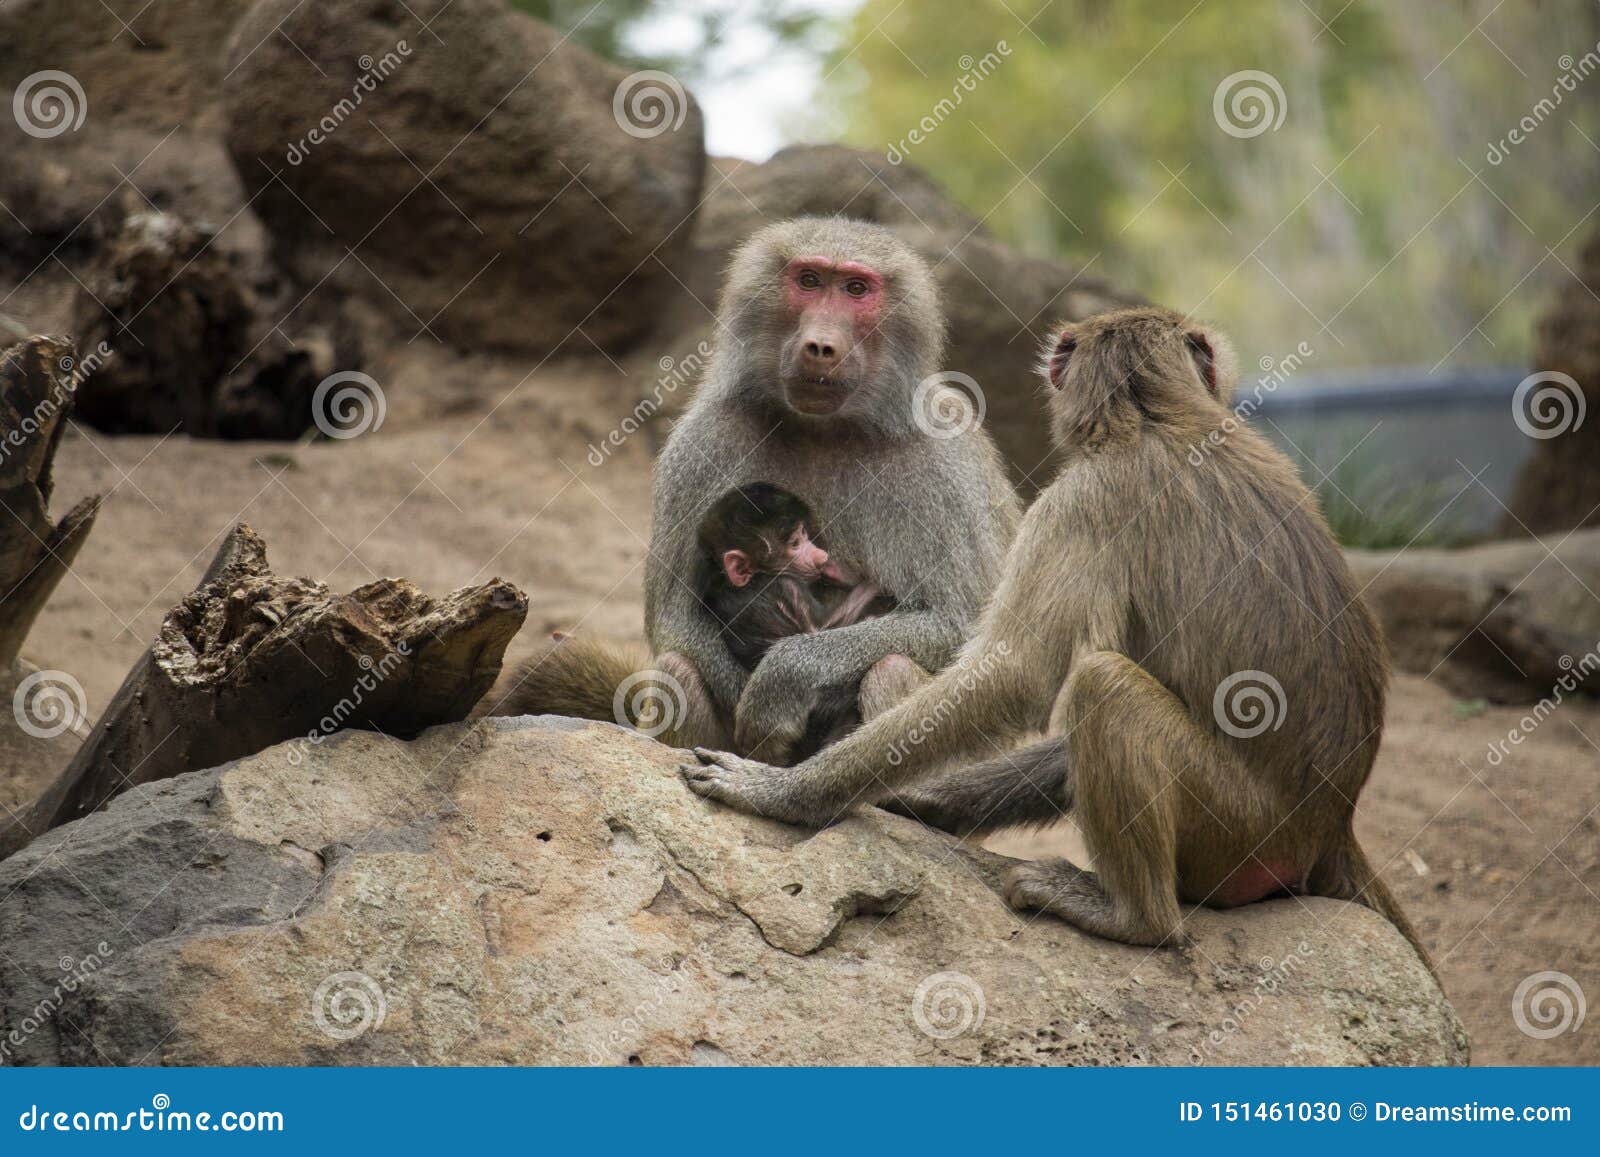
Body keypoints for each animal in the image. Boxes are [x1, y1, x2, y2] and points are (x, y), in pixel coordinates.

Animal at [490, 217, 1022, 763]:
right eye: (808, 280)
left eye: (856, 289)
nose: (820, 347)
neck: (825, 428)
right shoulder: (703, 441)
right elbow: (676, 617)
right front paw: (752, 704)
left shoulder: (945, 466)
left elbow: (962, 629)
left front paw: (781, 681)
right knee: (678, 671)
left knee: (890, 669)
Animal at [684, 306, 1432, 972]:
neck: (1160, 414)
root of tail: (1333, 823)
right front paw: (921, 799)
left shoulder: (1079, 504)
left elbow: (1019, 674)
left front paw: (783, 793)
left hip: (1239, 831)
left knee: (1106, 687)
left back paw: (1133, 919)